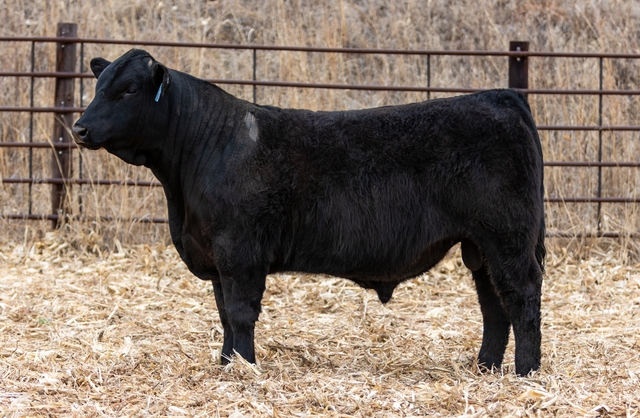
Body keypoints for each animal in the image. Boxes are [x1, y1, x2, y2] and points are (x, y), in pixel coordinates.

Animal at [72, 49, 546, 376]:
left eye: (129, 90)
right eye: (98, 86)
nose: (79, 127)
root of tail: (500, 97)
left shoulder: (239, 251)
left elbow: (240, 312)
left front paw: (245, 367)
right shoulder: (216, 256)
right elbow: (224, 313)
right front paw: (226, 364)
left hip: (507, 237)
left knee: (522, 299)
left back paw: (526, 372)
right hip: (480, 245)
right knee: (494, 305)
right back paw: (484, 368)